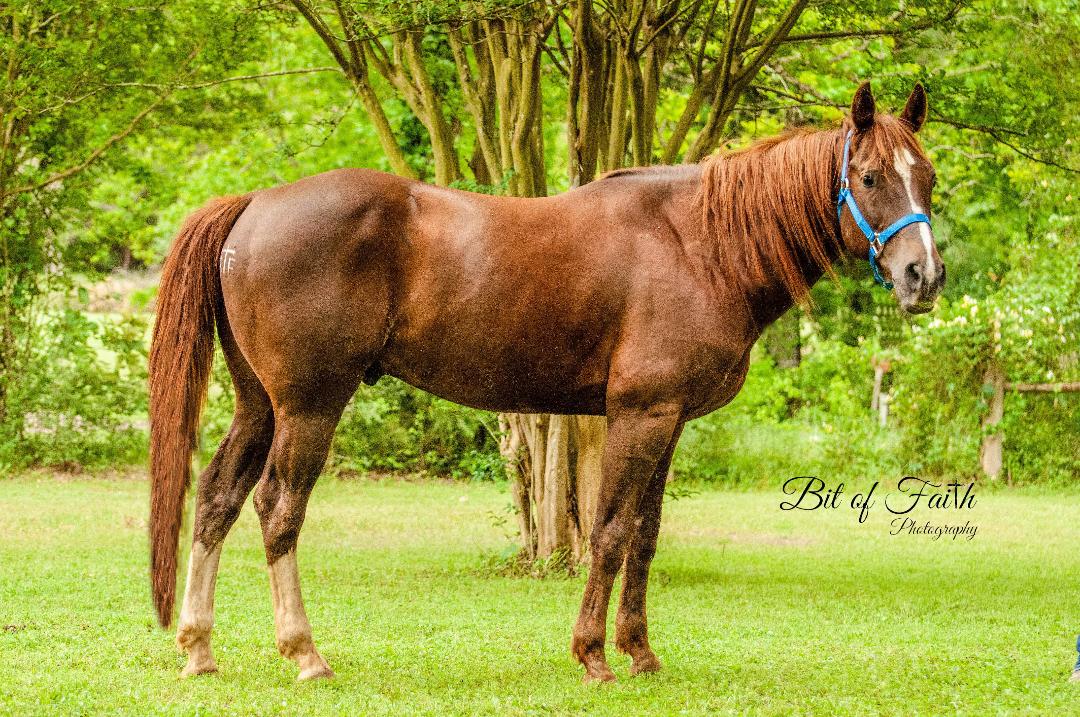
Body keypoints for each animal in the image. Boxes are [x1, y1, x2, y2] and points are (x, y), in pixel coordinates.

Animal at [148, 81, 943, 682]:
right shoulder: (641, 415)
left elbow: (646, 536)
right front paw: (593, 655)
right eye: (870, 178)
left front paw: (640, 651)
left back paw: (199, 648)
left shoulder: (670, 421)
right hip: (309, 406)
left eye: (928, 178)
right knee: (278, 510)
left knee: (216, 499)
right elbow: (611, 529)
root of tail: (255, 203)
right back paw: (304, 653)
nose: (923, 277)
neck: (699, 243)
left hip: (259, 404)